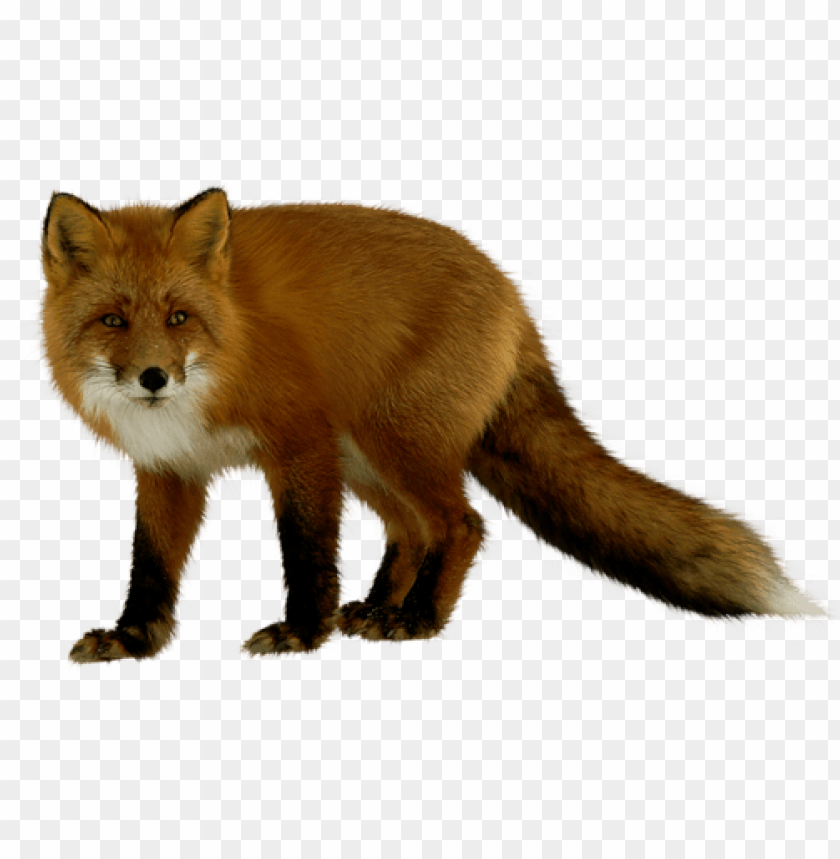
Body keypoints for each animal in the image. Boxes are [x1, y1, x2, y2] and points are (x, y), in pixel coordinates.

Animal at [40, 188, 825, 663]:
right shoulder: (170, 468)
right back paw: (381, 608)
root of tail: (510, 291)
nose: (154, 377)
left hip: (392, 444)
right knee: (412, 529)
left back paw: (417, 619)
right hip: (370, 458)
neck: (230, 345)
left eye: (179, 317)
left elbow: (306, 552)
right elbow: (151, 563)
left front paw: (302, 631)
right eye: (113, 320)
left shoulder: (300, 445)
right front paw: (133, 637)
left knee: (460, 524)